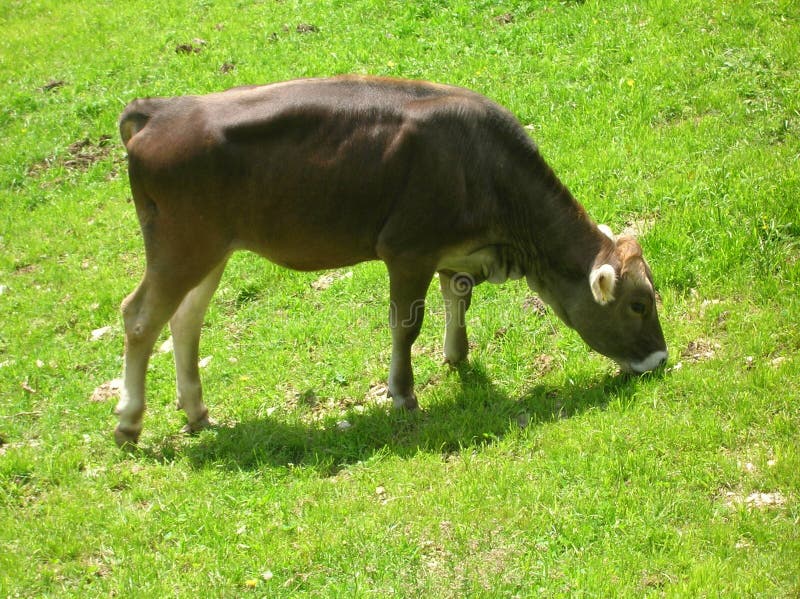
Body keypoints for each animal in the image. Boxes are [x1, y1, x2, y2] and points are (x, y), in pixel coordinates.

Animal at [114, 76, 667, 447]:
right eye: (638, 305)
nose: (661, 359)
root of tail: (160, 111)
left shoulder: (454, 253)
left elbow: (457, 298)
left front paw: (458, 357)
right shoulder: (407, 250)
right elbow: (407, 324)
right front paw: (403, 394)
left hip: (211, 250)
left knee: (185, 320)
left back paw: (197, 412)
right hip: (181, 246)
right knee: (140, 316)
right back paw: (129, 422)